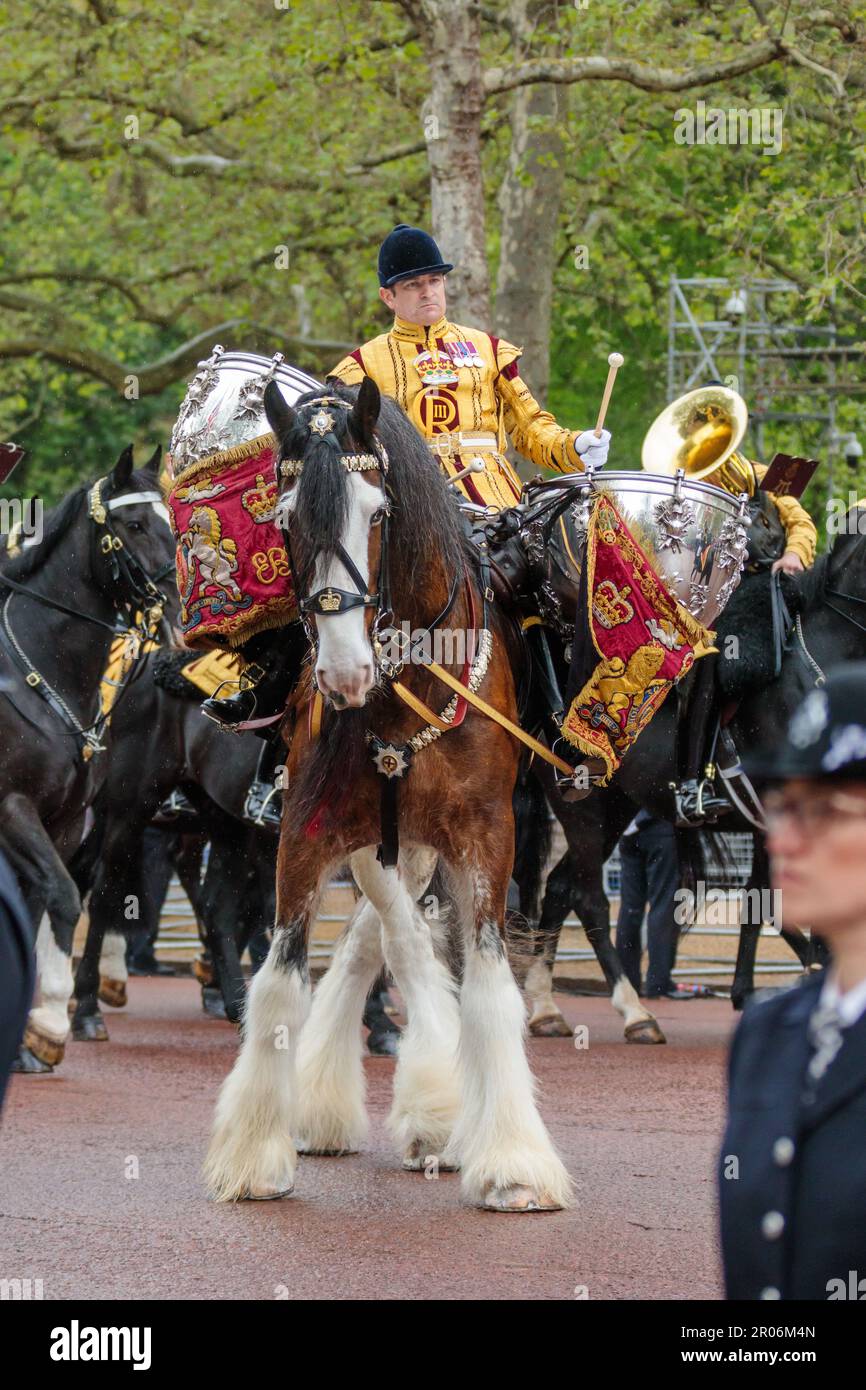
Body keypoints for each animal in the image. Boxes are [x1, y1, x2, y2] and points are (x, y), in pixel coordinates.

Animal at [0, 445, 175, 1070]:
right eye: (134, 524)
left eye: (170, 521)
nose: (177, 603)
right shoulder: (13, 807)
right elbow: (62, 895)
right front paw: (51, 1021)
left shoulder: (68, 820)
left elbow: (51, 903)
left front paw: (33, 1033)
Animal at [203, 376, 573, 1213]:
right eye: (285, 518)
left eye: (377, 512)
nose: (344, 672)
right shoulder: (313, 832)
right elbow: (285, 980)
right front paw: (253, 1154)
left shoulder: (486, 837)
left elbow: (487, 982)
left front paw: (510, 1159)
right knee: (384, 935)